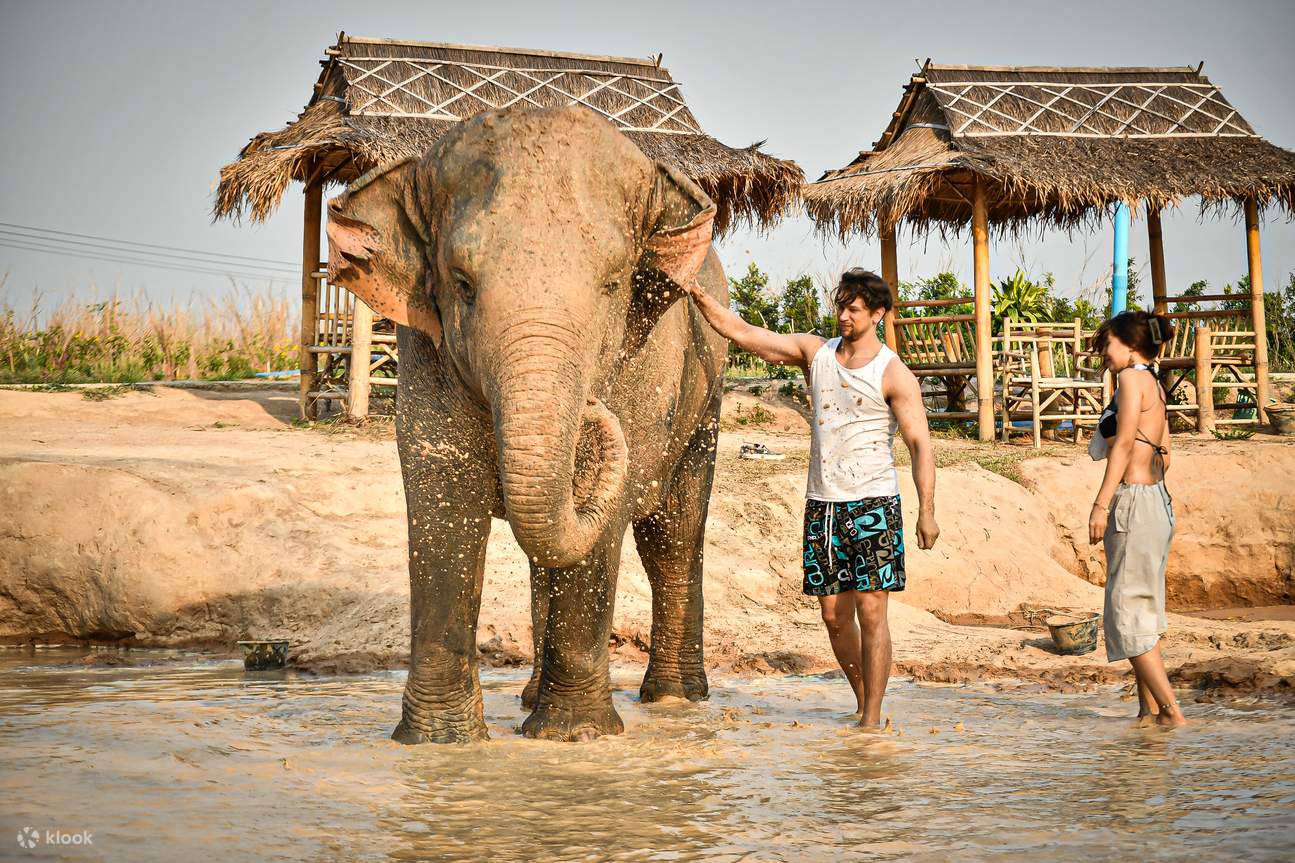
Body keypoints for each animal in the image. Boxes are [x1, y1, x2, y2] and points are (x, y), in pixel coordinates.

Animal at [325, 105, 729, 743]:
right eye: (461, 283)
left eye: (613, 284)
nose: (591, 409)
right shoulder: (425, 351)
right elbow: (444, 504)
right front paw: (438, 743)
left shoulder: (645, 360)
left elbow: (601, 524)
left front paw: (577, 736)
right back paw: (533, 697)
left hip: (705, 399)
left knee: (673, 536)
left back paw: (673, 699)